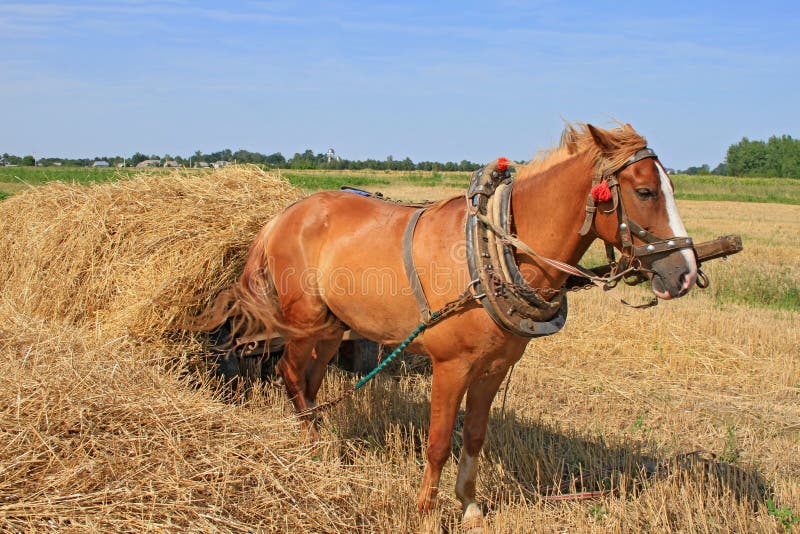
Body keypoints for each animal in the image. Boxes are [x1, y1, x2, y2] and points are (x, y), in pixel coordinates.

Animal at [200, 122, 698, 526]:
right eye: (645, 192)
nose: (687, 273)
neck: (492, 250)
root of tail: (285, 214)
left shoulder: (493, 369)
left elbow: (475, 435)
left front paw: (470, 505)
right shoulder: (450, 366)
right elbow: (439, 440)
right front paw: (424, 510)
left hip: (329, 326)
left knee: (311, 380)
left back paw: (322, 439)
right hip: (303, 320)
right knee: (289, 372)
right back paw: (310, 443)